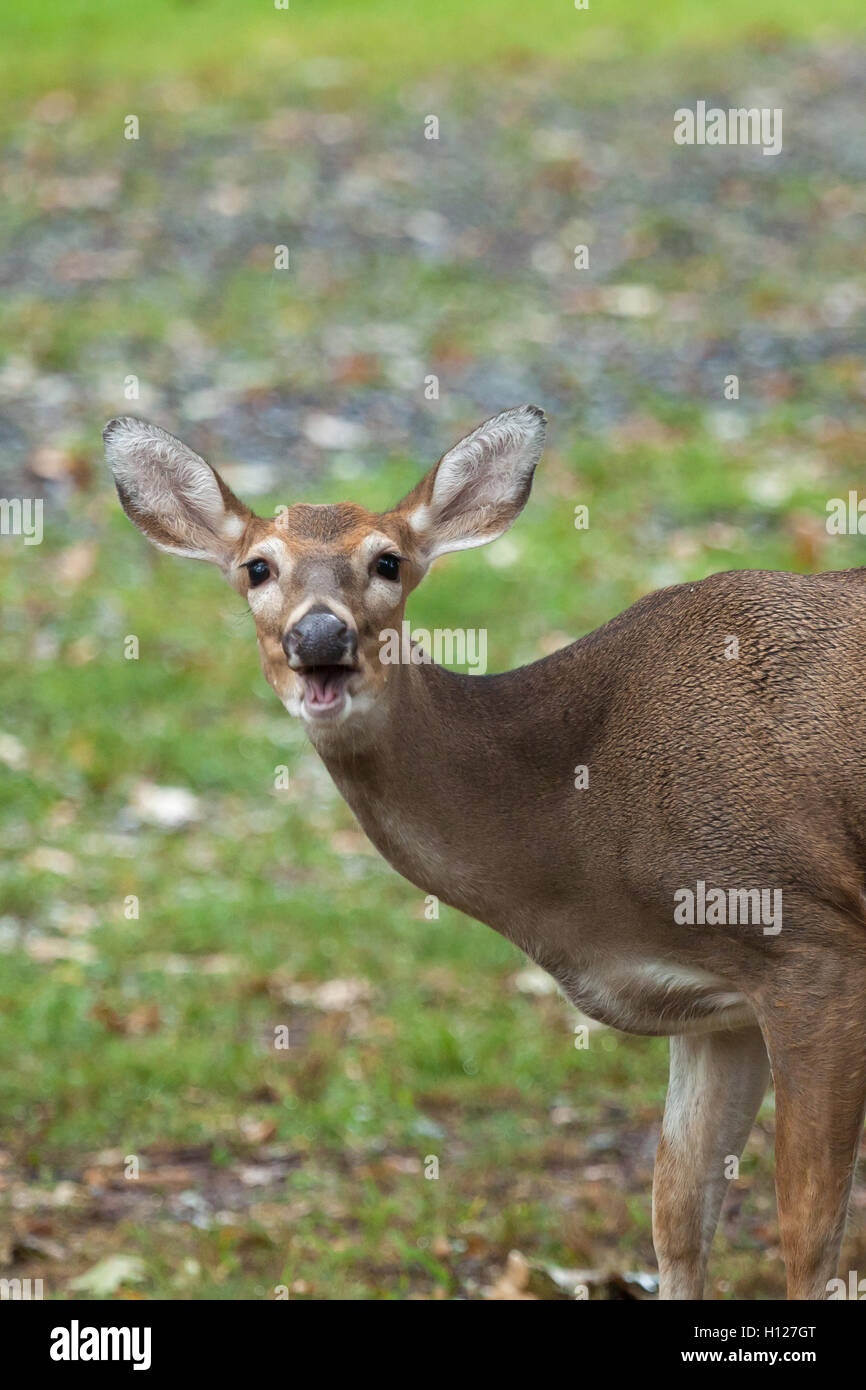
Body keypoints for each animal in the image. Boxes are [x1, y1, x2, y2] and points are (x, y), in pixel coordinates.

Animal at [104, 405, 866, 1300]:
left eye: (387, 560)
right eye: (258, 566)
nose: (320, 634)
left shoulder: (807, 939)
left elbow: (807, 1235)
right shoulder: (717, 1004)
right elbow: (677, 1218)